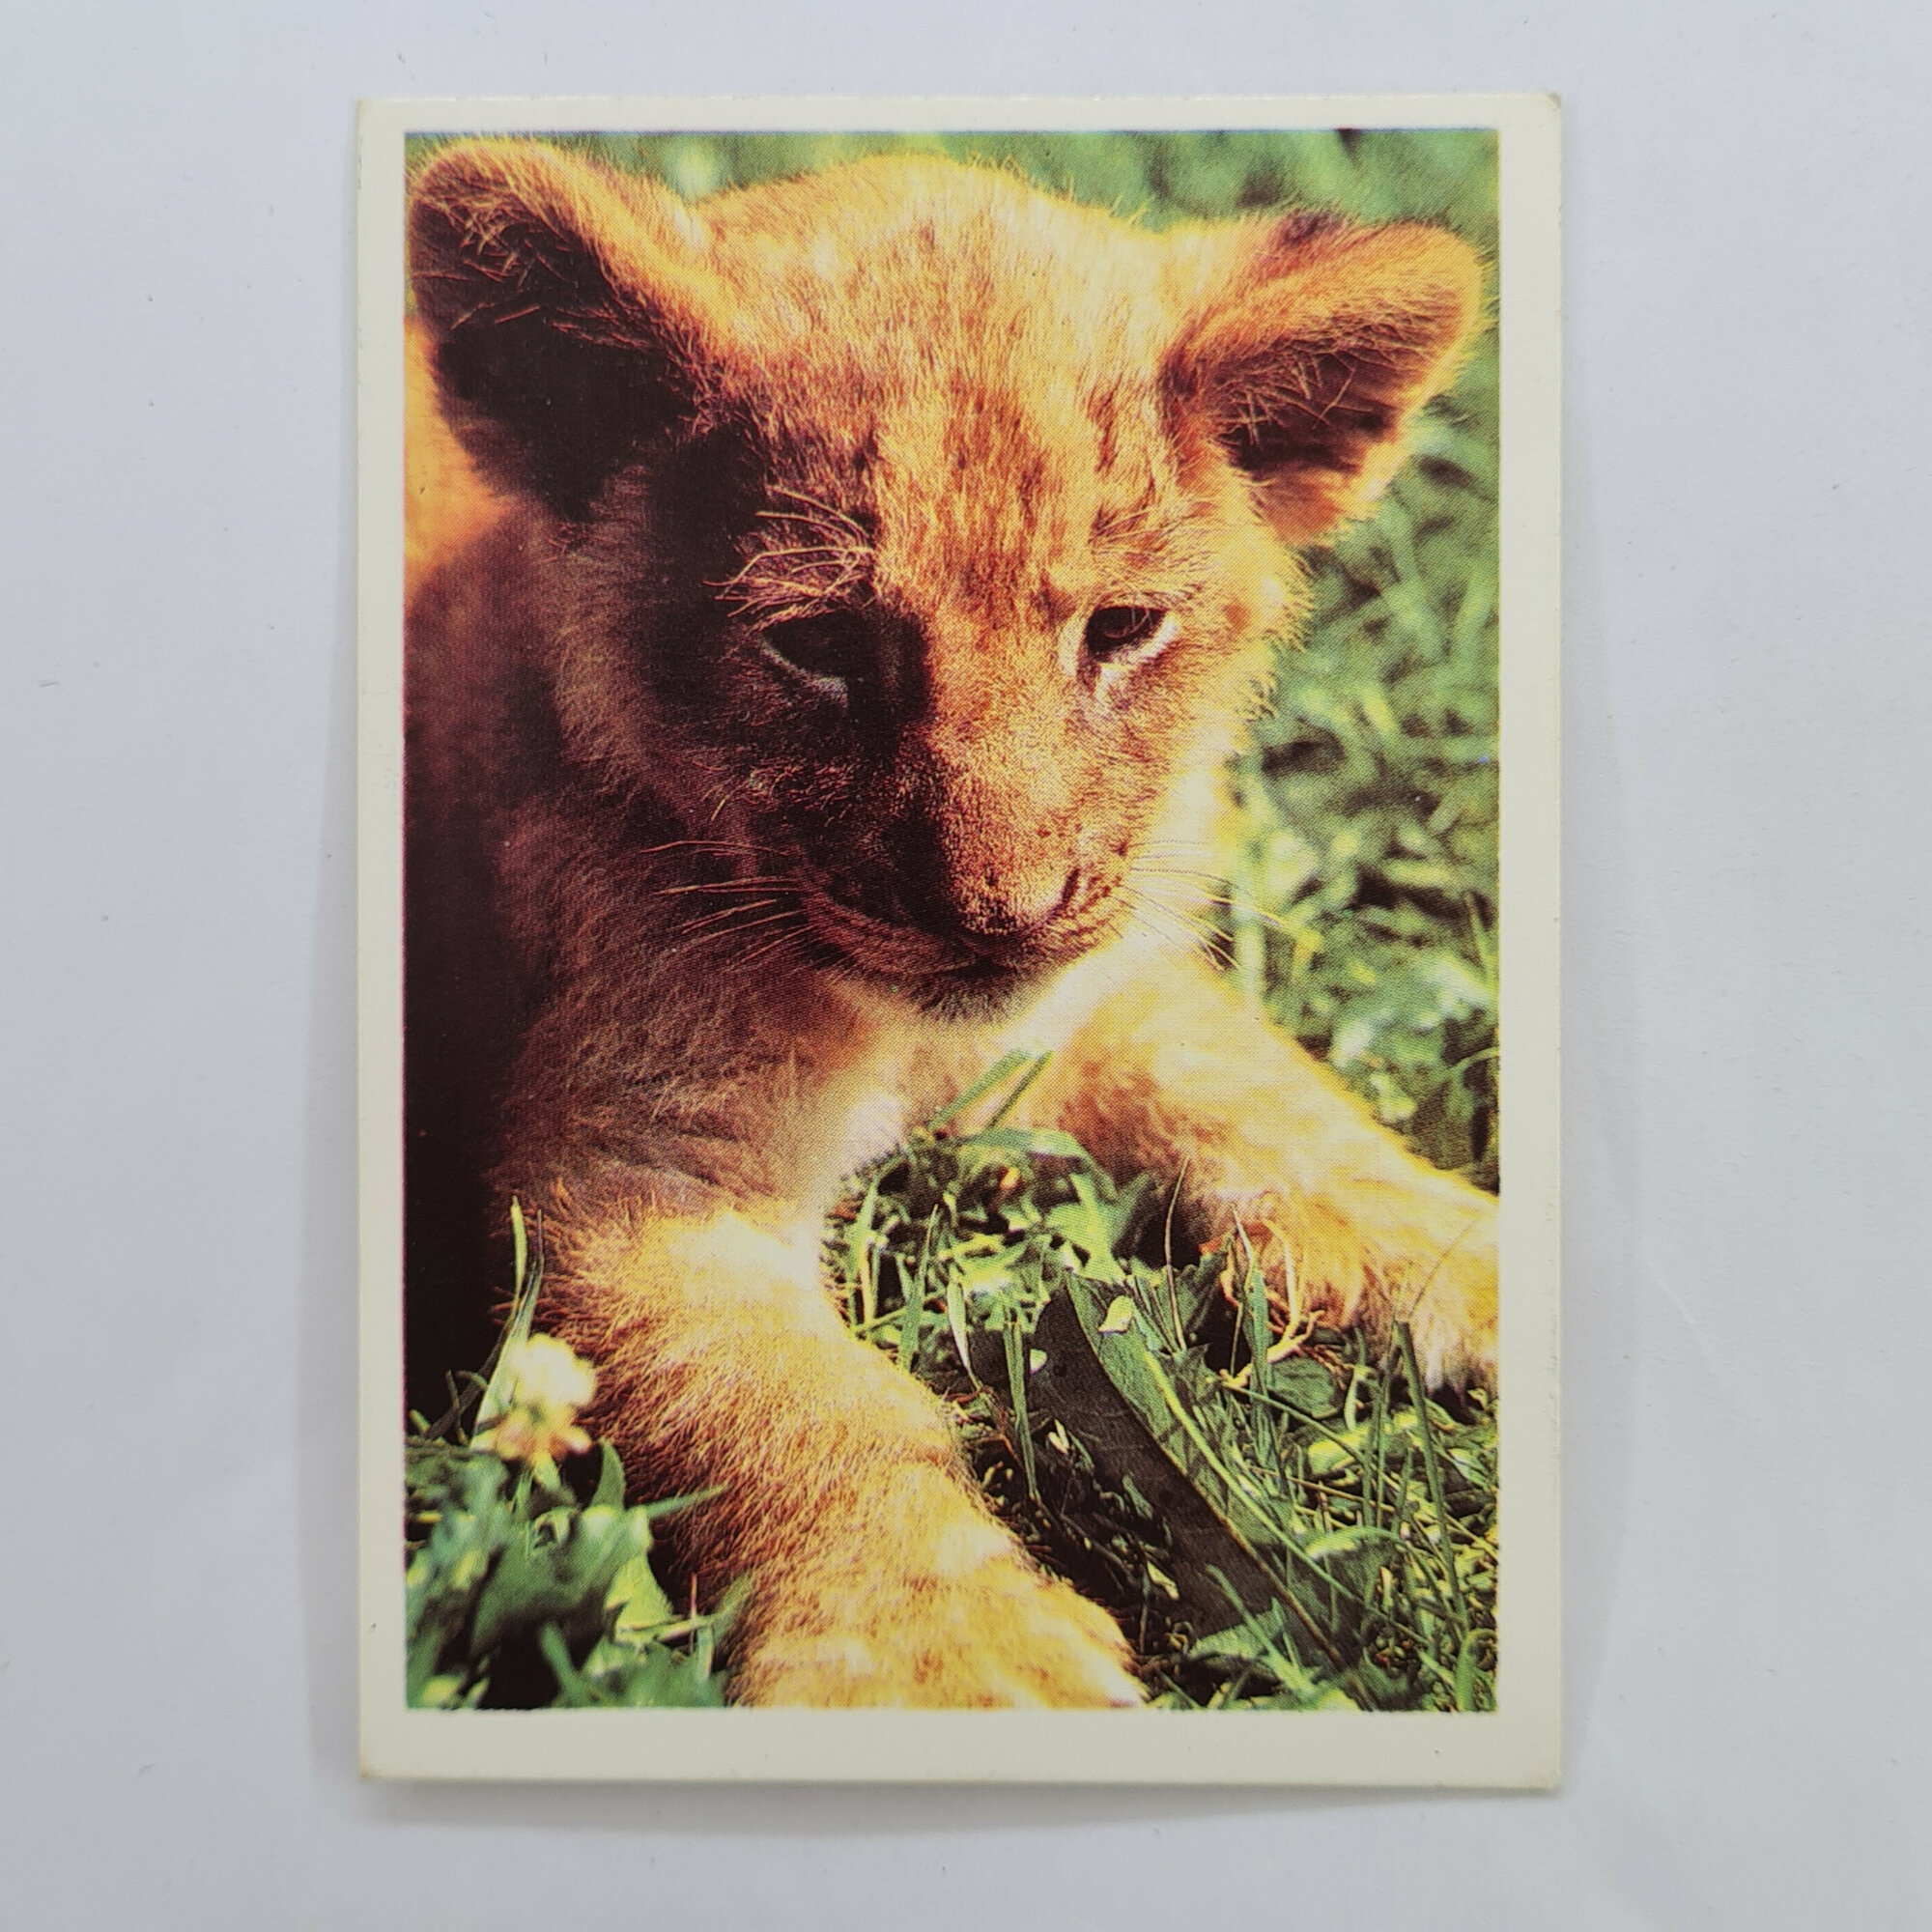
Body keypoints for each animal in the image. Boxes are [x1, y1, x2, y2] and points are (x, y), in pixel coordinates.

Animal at [401, 138, 1494, 1706]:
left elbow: (1254, 1087)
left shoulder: (1088, 989)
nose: (1000, 917)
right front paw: (949, 1647)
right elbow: (782, 1399)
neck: (905, 1037)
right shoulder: (624, 1167)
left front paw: (1471, 1250)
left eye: (1121, 631)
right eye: (818, 644)